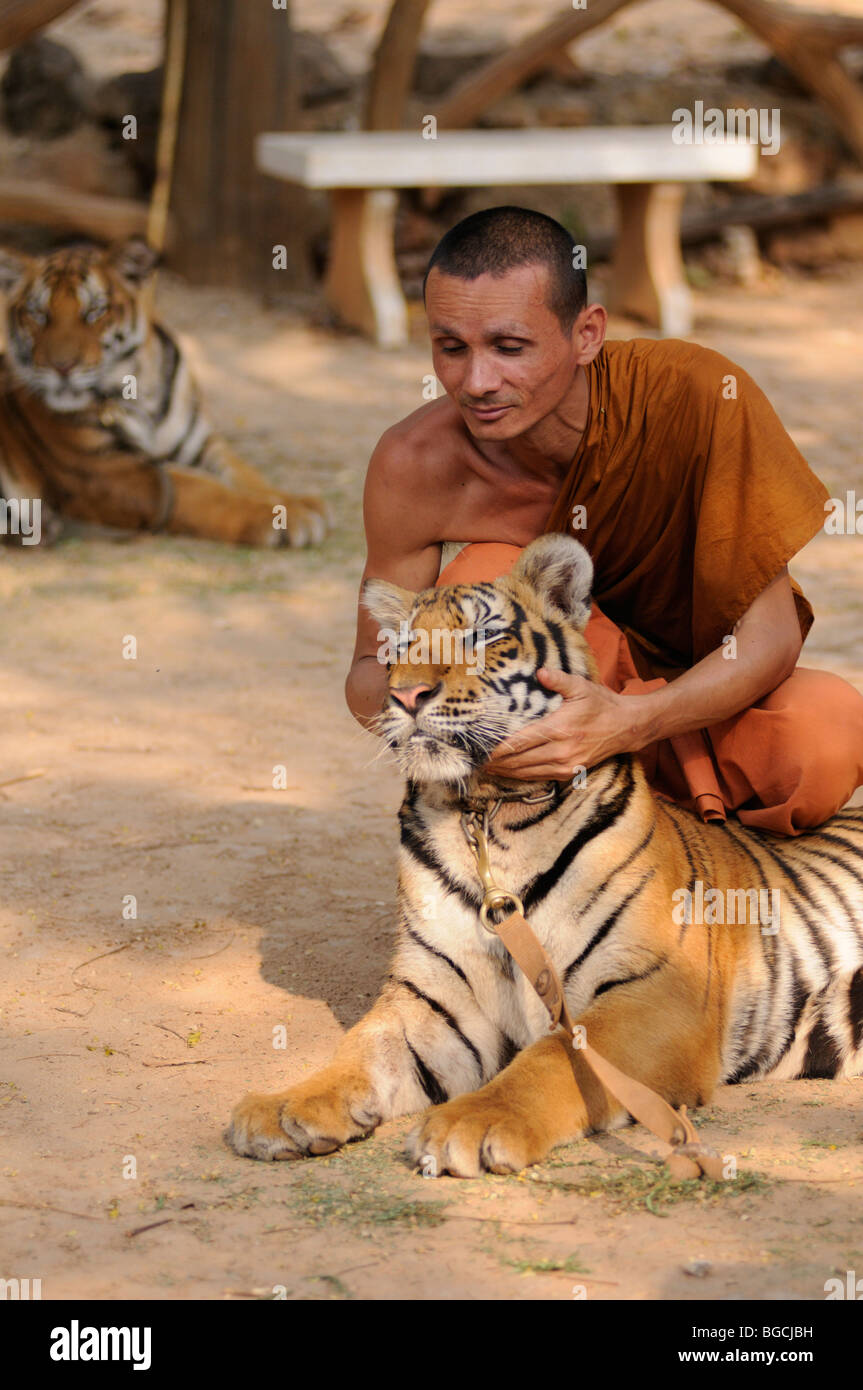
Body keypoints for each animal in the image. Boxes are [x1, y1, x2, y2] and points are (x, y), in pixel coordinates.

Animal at [0, 238, 328, 547]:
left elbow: (246, 474)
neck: (142, 392)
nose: (62, 367)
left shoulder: (201, 444)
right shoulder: (101, 471)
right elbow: (198, 490)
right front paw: (282, 519)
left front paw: (297, 503)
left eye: (95, 311)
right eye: (37, 313)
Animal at [228, 534, 863, 1177]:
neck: (488, 812)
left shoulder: (658, 993)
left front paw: (469, 1123)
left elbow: (551, 1058)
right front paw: (284, 1107)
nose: (407, 695)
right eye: (400, 646)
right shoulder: (432, 998)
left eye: (483, 637)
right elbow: (361, 1048)